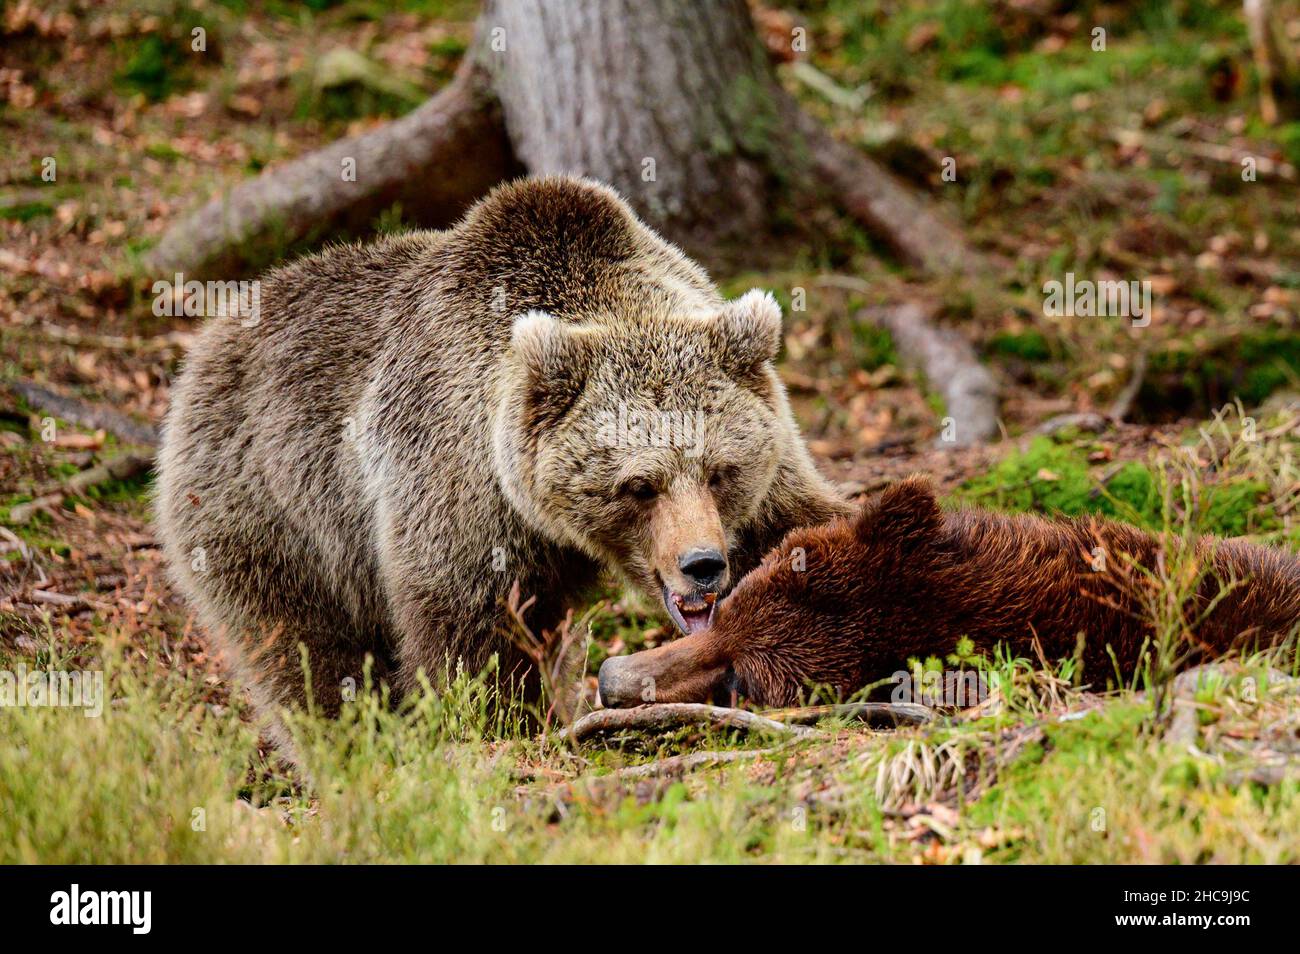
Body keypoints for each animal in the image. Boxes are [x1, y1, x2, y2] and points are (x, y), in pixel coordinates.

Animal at [155, 176, 851, 745]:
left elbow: (797, 522)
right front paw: (494, 725)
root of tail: (212, 339)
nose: (703, 564)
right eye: (638, 486)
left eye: (720, 471)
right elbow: (466, 632)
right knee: (307, 653)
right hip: (274, 511)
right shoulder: (453, 483)